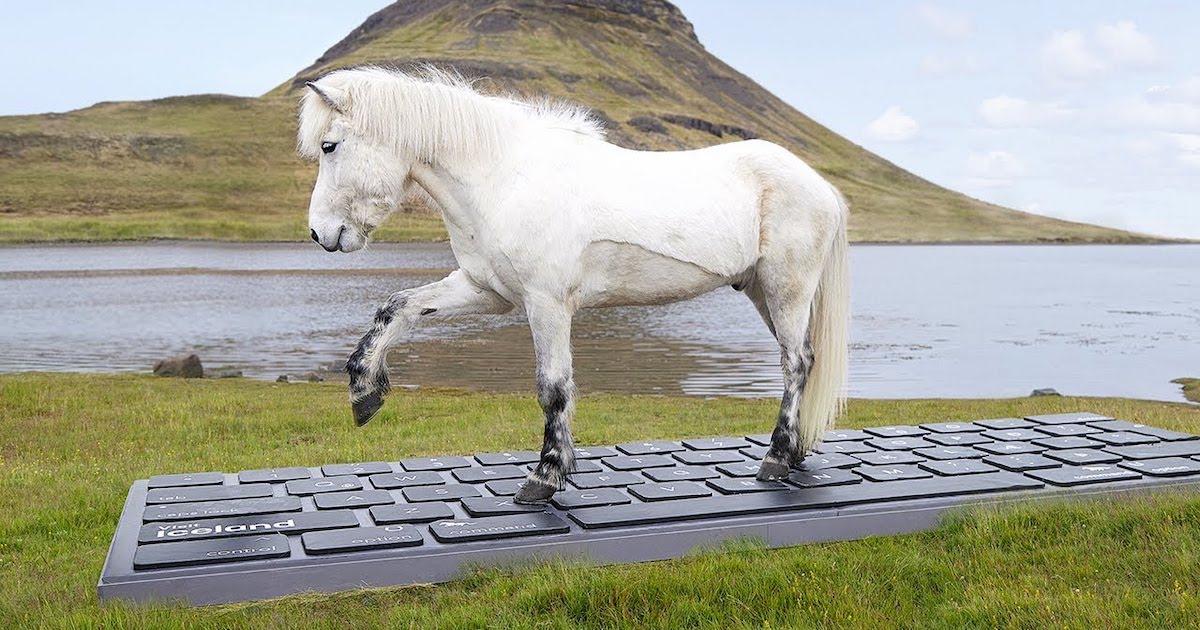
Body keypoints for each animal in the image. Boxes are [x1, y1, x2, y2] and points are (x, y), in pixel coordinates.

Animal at [298, 67, 849, 504]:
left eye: (329, 146)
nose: (320, 234)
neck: (504, 179)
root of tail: (820, 184)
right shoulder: (486, 291)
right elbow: (396, 308)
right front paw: (364, 392)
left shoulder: (546, 304)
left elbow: (553, 386)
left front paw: (545, 476)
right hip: (761, 291)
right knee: (803, 358)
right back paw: (795, 453)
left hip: (787, 288)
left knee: (795, 363)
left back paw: (776, 458)